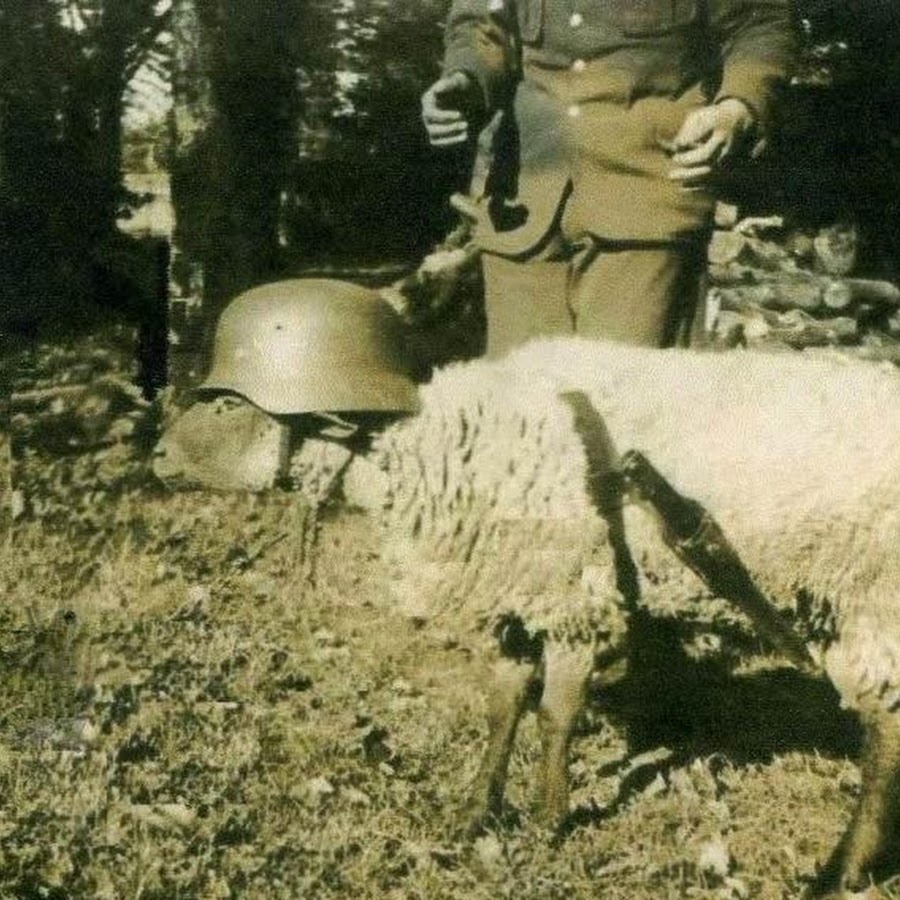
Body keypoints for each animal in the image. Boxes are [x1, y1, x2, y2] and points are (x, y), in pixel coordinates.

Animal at [367, 336, 900, 897]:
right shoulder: (517, 603)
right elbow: (503, 708)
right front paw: (476, 811)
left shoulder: (573, 603)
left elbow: (554, 715)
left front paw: (548, 819)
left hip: (872, 597)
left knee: (887, 736)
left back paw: (843, 869)